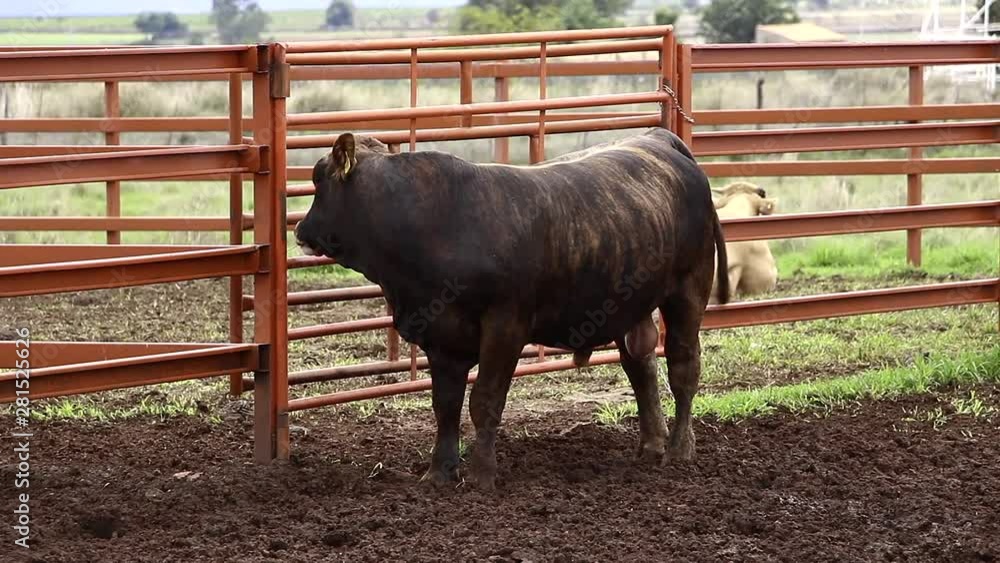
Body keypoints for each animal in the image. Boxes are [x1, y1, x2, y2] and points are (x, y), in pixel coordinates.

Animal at [293, 128, 729, 490]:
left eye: (318, 179)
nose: (300, 230)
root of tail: (659, 138)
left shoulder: (505, 325)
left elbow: (484, 400)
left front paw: (482, 474)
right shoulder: (442, 334)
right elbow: (445, 405)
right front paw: (439, 474)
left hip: (689, 290)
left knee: (683, 369)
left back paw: (679, 450)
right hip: (631, 302)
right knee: (642, 367)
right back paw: (652, 445)